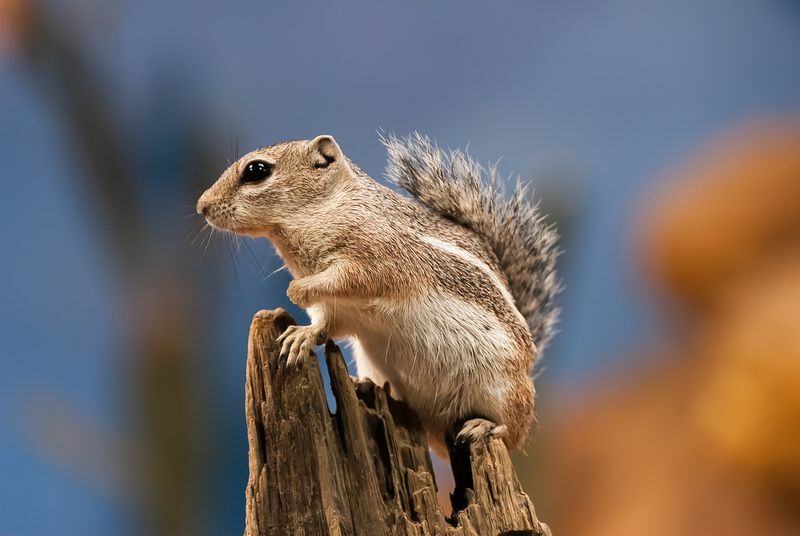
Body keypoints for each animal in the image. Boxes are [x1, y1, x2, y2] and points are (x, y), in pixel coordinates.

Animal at [196, 132, 560, 454]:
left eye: (257, 170)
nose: (202, 206)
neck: (325, 209)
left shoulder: (376, 259)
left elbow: (350, 279)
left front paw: (297, 291)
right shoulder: (334, 309)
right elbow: (324, 325)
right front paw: (301, 335)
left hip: (503, 390)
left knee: (512, 431)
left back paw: (485, 426)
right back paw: (367, 386)